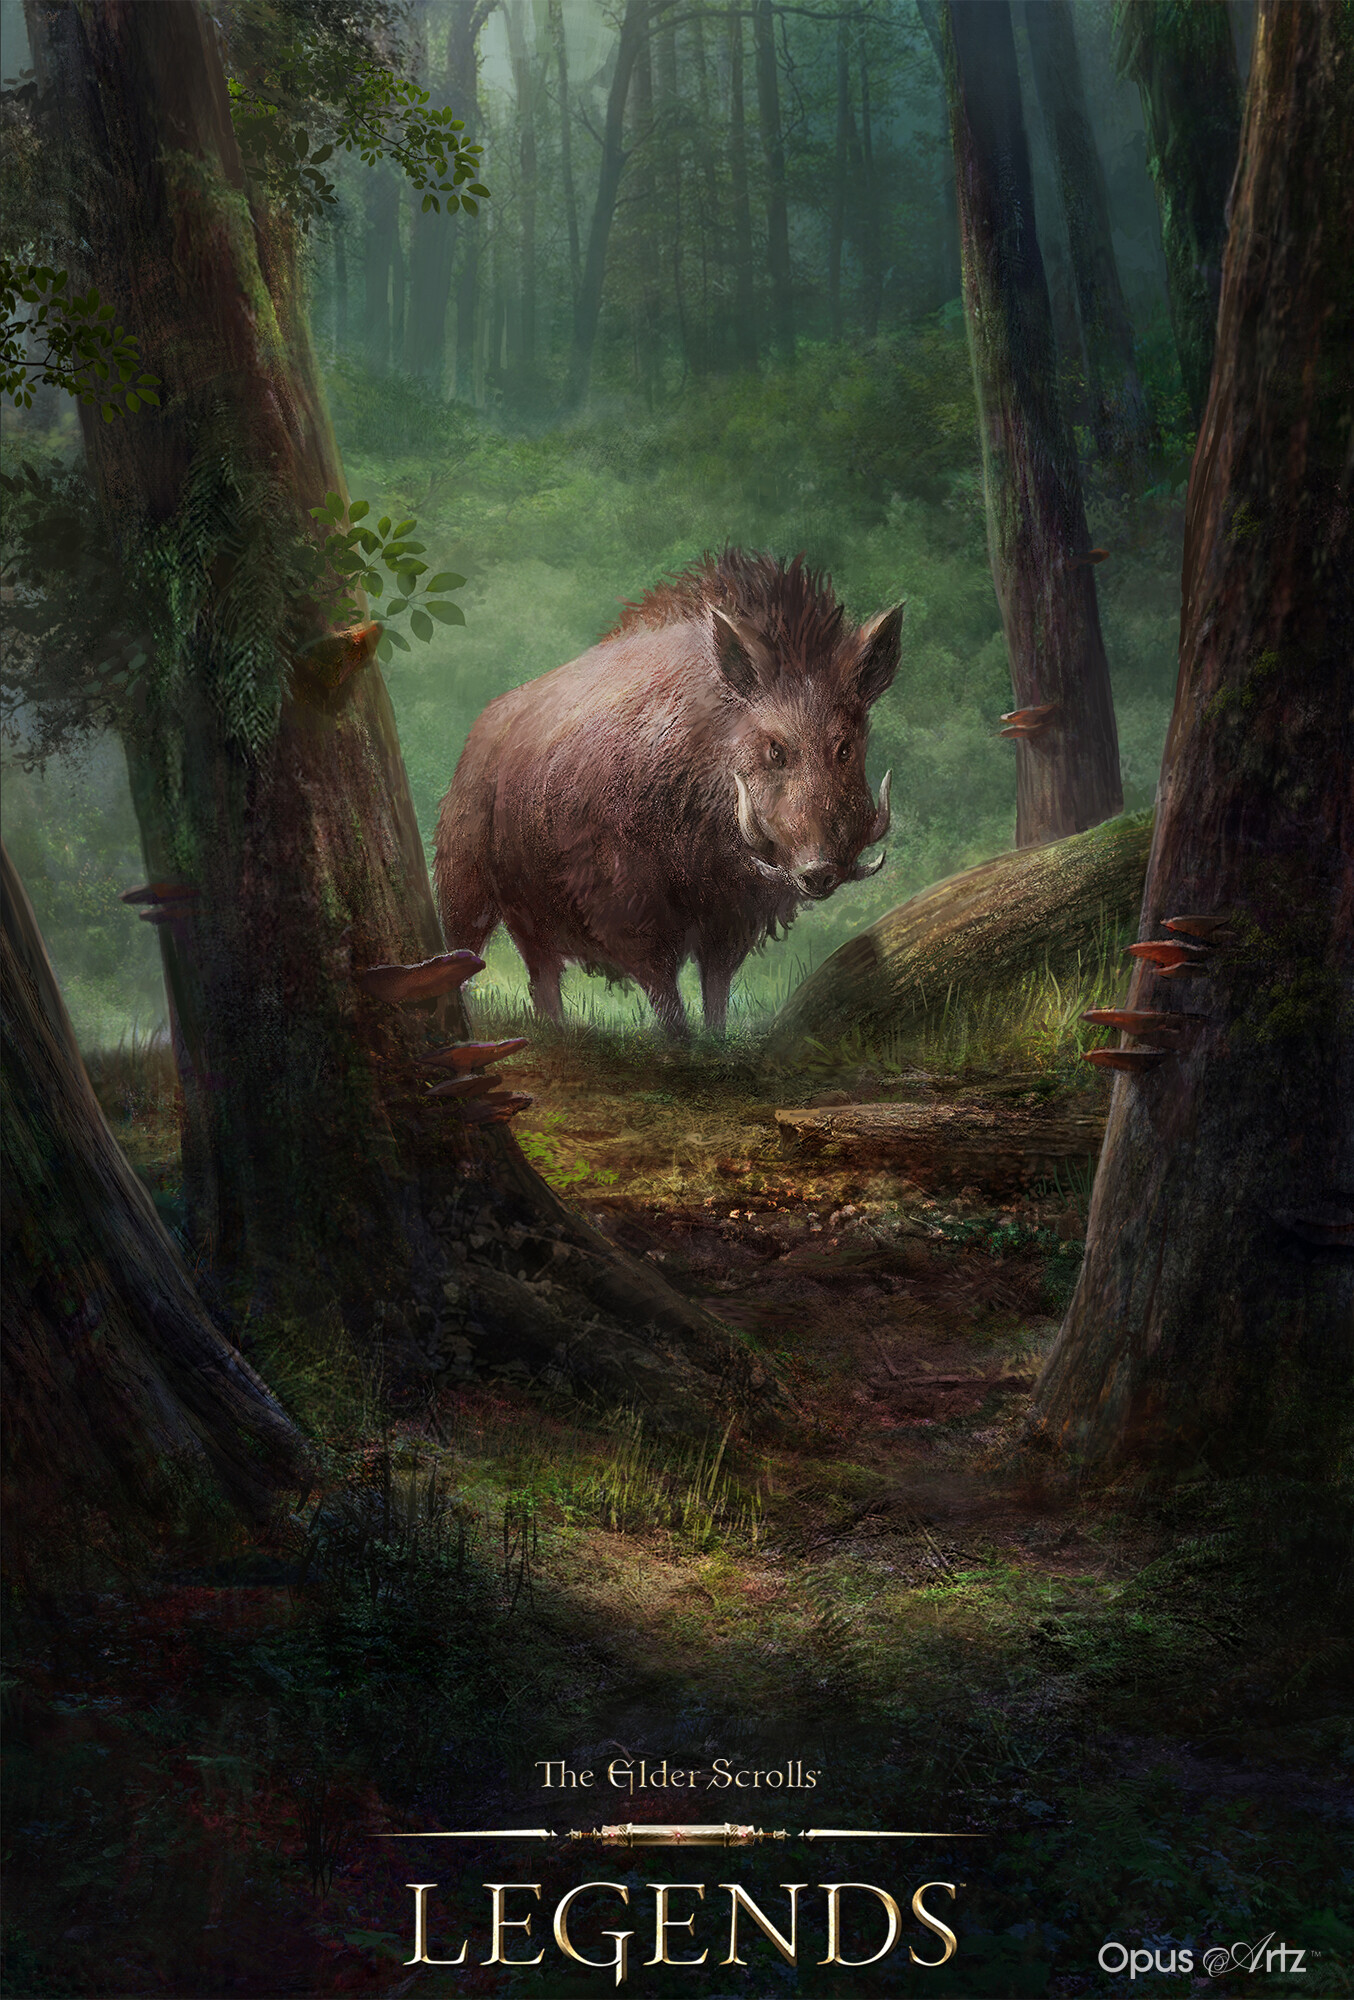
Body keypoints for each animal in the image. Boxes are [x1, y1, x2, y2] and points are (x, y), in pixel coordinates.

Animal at [433, 549, 901, 1037]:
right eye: (776, 748)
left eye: (845, 747)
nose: (820, 870)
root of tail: (480, 728)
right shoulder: (624, 901)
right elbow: (665, 994)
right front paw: (683, 1041)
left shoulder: (732, 917)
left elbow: (717, 988)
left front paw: (715, 1038)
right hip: (462, 882)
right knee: (466, 955)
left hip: (529, 913)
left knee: (541, 974)